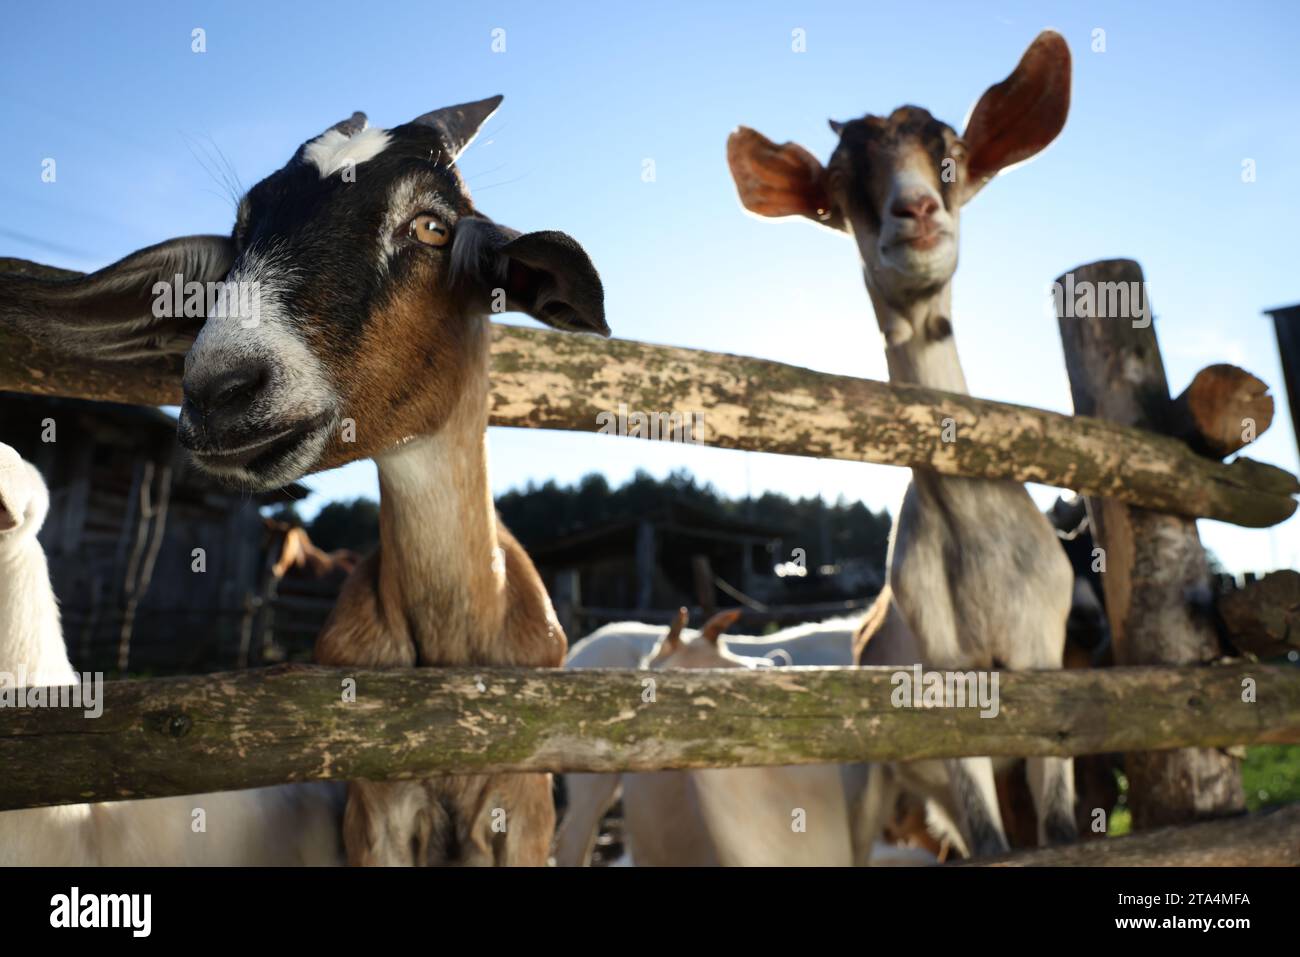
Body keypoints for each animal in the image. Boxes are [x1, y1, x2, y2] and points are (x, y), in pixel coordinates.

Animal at [727, 31, 1077, 855]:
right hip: (871, 777)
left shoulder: (1046, 664)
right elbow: (992, 843)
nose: (913, 210)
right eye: (839, 187)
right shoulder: (946, 684)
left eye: (952, 153)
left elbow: (1062, 826)